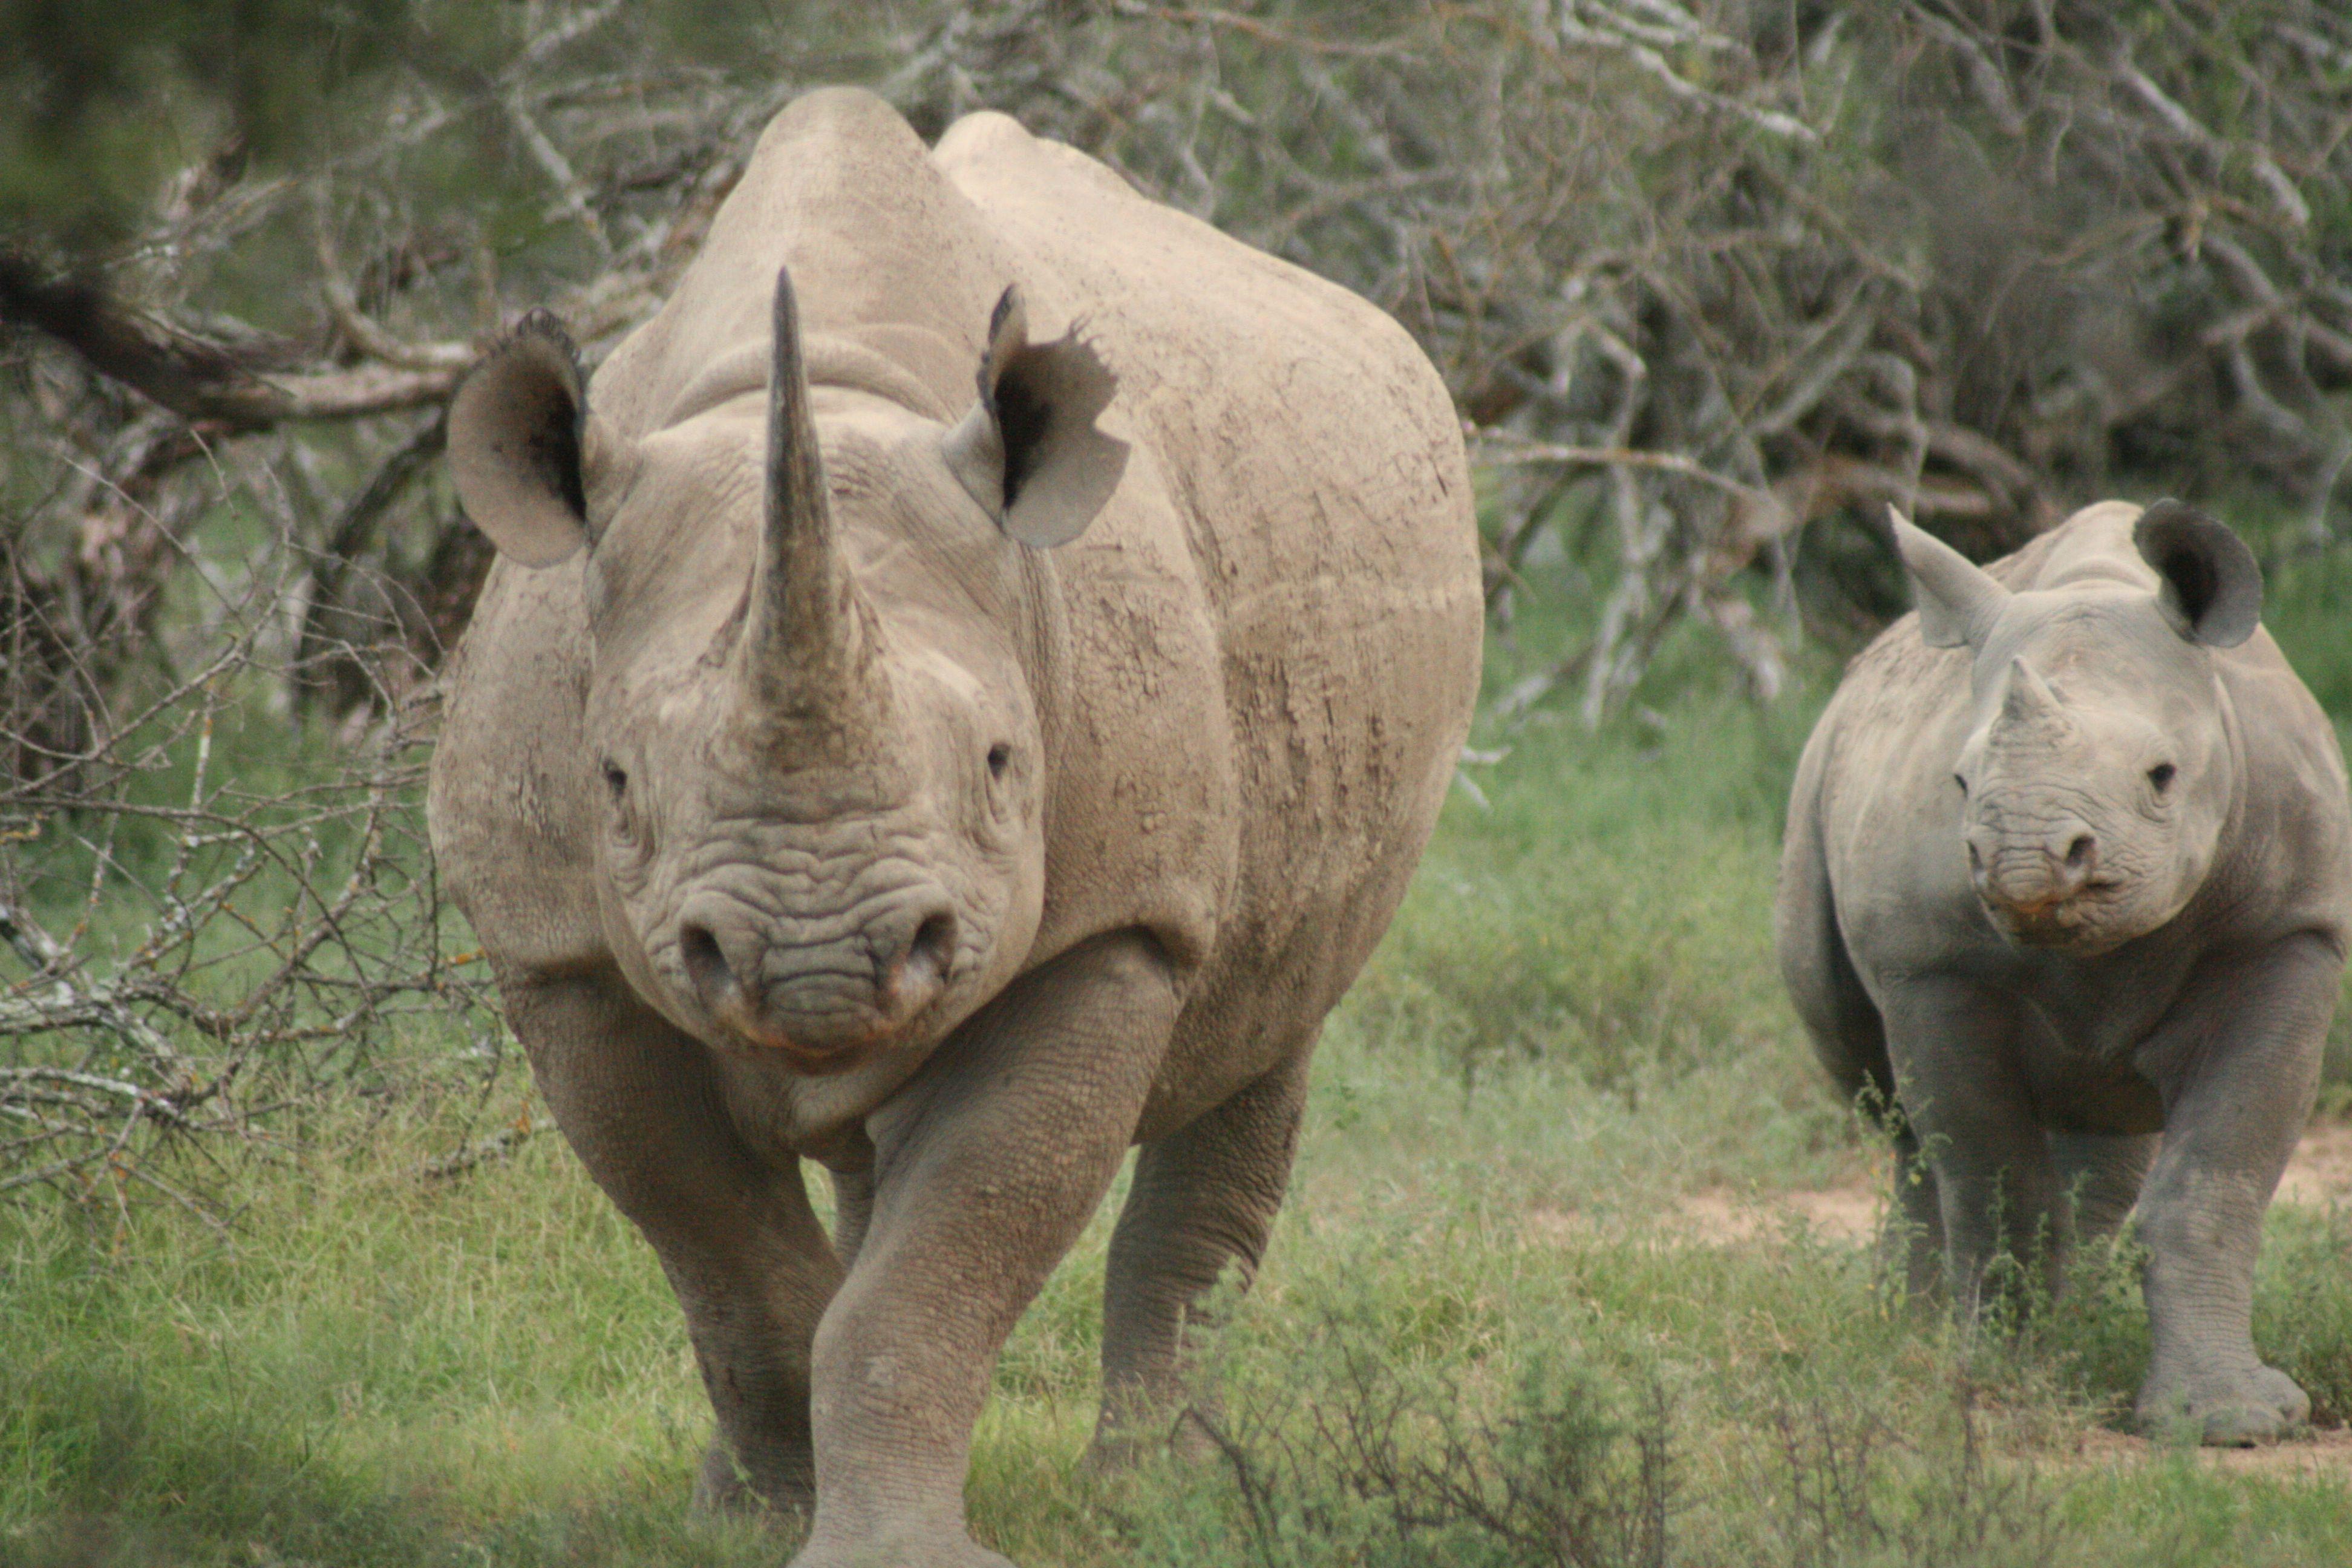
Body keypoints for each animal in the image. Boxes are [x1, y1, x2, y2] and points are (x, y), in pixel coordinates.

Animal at [426, 89, 1481, 1564]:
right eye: (617, 785)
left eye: (1000, 765)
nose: (817, 964)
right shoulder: (555, 945)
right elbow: (728, 1256)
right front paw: (755, 1518)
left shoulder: (1115, 926)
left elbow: (934, 1267)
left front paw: (885, 1547)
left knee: (1270, 1024)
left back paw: (1158, 1502)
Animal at [1777, 499, 2351, 1442]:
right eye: (1960, 781)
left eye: (2162, 775)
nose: (2023, 862)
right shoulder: (1934, 968)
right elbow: (1992, 1183)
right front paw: (1997, 1381)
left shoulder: (2289, 935)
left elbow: (2213, 1183)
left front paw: (2231, 1422)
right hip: (1813, 800)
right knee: (1889, 1108)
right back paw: (1916, 1335)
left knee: (2105, 1126)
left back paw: (2069, 1325)